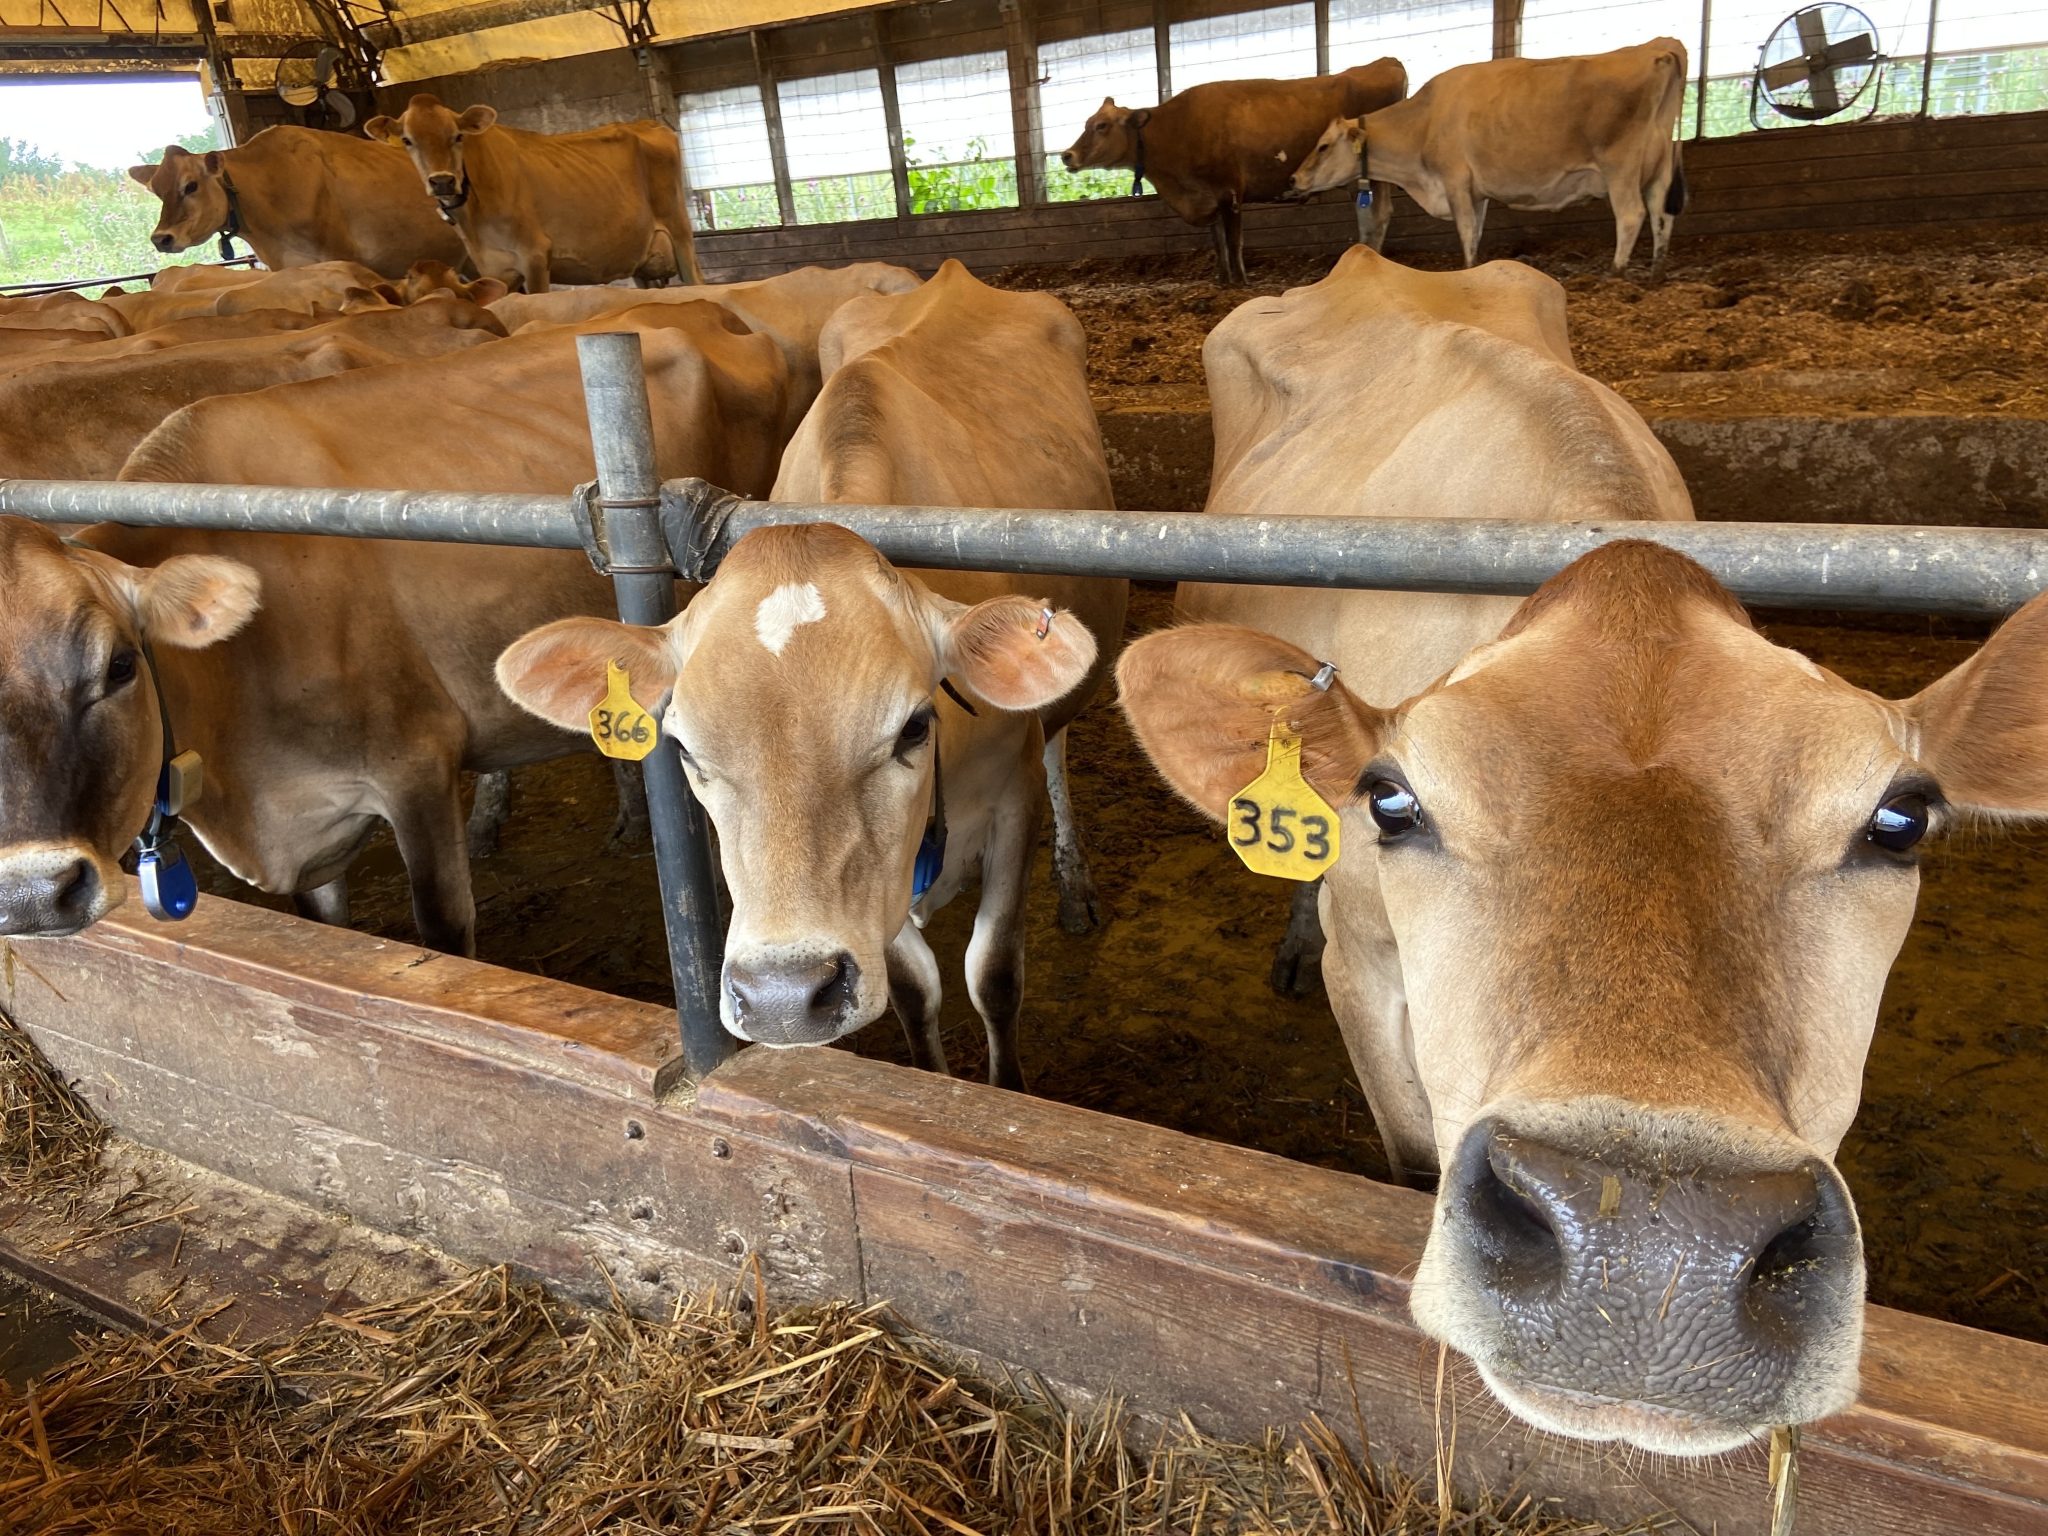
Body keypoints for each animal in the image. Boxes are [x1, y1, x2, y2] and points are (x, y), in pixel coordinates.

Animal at [365, 94, 703, 294]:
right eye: (407, 140)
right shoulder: (494, 268)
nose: (443, 181)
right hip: (642, 258)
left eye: (457, 136)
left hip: (680, 233)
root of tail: (650, 124)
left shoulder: (535, 255)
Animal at [496, 261, 1128, 1088]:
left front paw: (1007, 1088)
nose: (782, 998)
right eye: (685, 748)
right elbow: (916, 990)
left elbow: (992, 974)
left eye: (913, 728)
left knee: (1059, 746)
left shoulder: (1012, 800)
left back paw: (1076, 883)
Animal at [1058, 61, 1407, 284]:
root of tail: (1386, 63)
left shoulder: (1229, 191)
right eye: (1088, 122)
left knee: (1375, 217)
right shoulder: (1208, 197)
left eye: (1102, 125)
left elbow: (1234, 239)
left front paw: (1240, 281)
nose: (1066, 155)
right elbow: (1218, 241)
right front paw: (1222, 279)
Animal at [1289, 39, 1689, 276]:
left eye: (1323, 146)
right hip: (1658, 165)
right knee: (1661, 212)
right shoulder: (1475, 191)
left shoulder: (1455, 182)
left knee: (1631, 214)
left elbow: (1466, 233)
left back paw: (1618, 271)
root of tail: (1658, 47)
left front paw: (1467, 268)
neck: (1423, 122)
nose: (1294, 178)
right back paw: (1657, 268)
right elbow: (1477, 231)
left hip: (1620, 164)